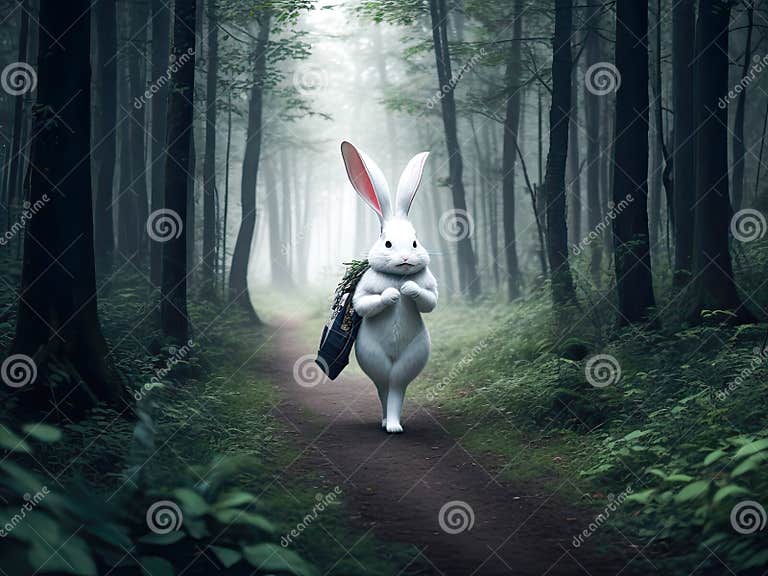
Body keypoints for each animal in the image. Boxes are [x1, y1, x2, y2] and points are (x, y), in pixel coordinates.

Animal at [340, 141, 438, 433]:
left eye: (415, 242)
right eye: (387, 243)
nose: (405, 259)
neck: (397, 276)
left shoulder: (430, 287)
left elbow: (430, 300)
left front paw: (408, 290)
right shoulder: (365, 290)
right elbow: (365, 302)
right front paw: (394, 294)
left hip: (411, 360)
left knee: (395, 391)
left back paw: (393, 424)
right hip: (374, 359)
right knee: (385, 390)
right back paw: (387, 422)